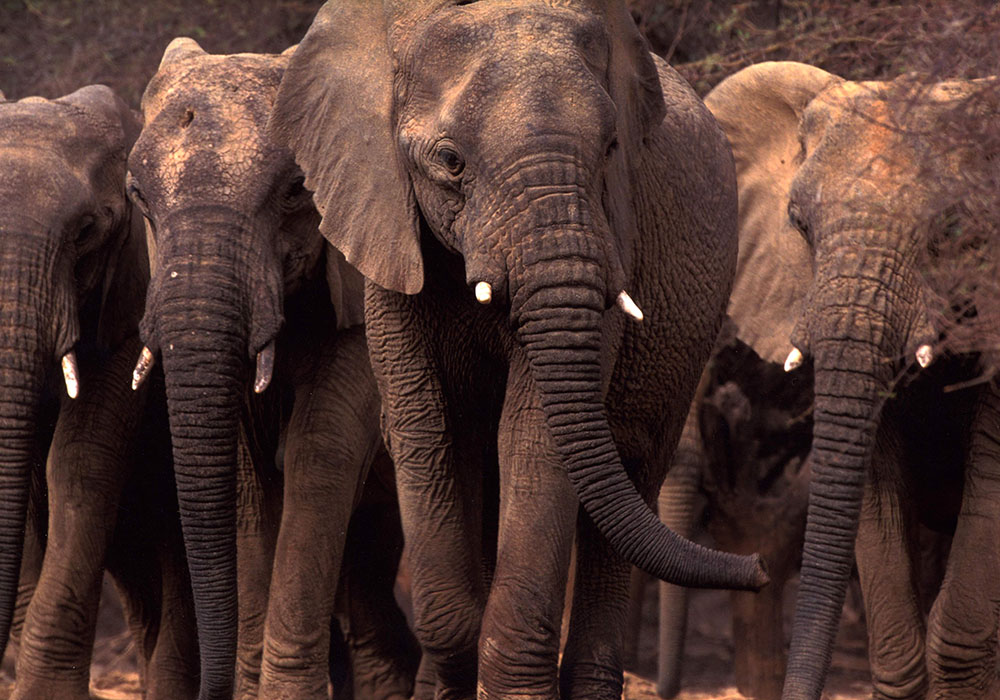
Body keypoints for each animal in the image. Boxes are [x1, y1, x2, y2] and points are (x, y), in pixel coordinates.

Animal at [267, 2, 768, 699]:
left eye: (611, 149)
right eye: (450, 161)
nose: (760, 567)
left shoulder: (612, 238)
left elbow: (534, 437)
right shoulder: (388, 242)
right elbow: (430, 429)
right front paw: (457, 655)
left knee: (633, 471)